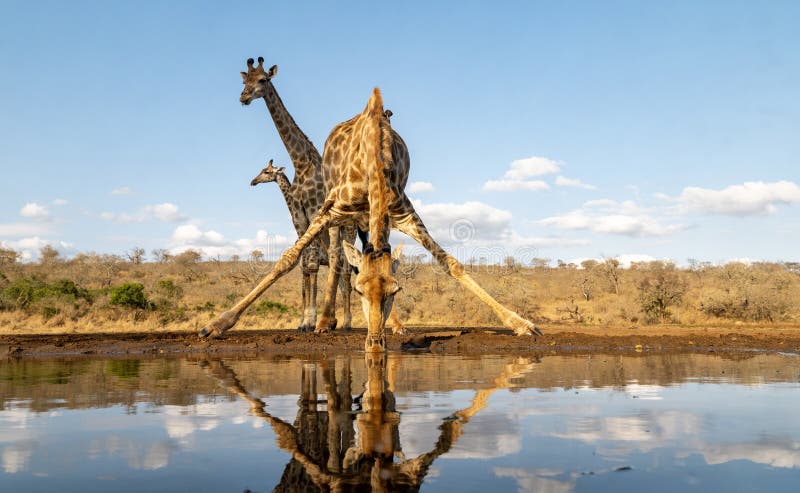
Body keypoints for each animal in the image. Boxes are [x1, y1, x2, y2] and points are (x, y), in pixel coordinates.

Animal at [239, 56, 353, 331]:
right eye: (244, 81)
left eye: (263, 80)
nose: (243, 97)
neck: (301, 163)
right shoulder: (301, 220)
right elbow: (306, 265)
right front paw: (306, 321)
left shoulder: (314, 213)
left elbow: (312, 264)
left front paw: (314, 321)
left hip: (348, 228)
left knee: (345, 265)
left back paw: (345, 321)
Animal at [251, 159, 407, 335]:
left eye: (267, 172)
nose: (253, 181)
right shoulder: (306, 265)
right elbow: (308, 289)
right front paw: (314, 322)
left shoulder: (307, 264)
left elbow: (308, 289)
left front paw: (308, 323)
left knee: (350, 283)